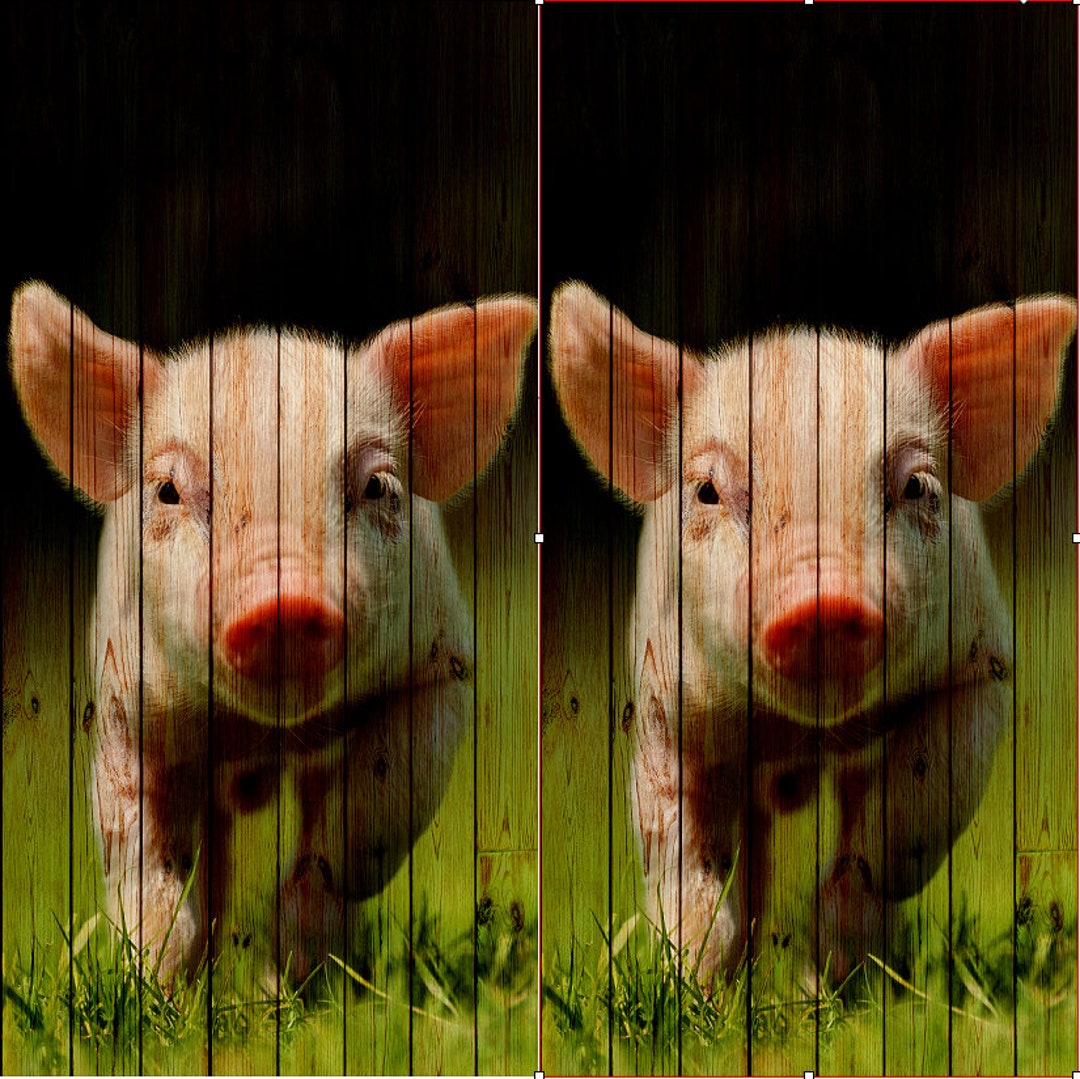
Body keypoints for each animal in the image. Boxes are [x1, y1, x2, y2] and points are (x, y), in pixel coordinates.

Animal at [9, 281, 537, 982]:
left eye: (377, 485)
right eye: (168, 491)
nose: (281, 599)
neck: (265, 733)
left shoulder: (442, 666)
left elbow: (377, 802)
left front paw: (298, 944)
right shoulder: (126, 702)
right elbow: (144, 854)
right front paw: (155, 981)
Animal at [549, 280, 1075, 982]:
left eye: (916, 484)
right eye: (707, 491)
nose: (820, 598)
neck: (803, 733)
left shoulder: (982, 665)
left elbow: (911, 808)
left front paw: (830, 965)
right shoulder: (666, 701)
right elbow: (684, 858)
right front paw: (693, 983)